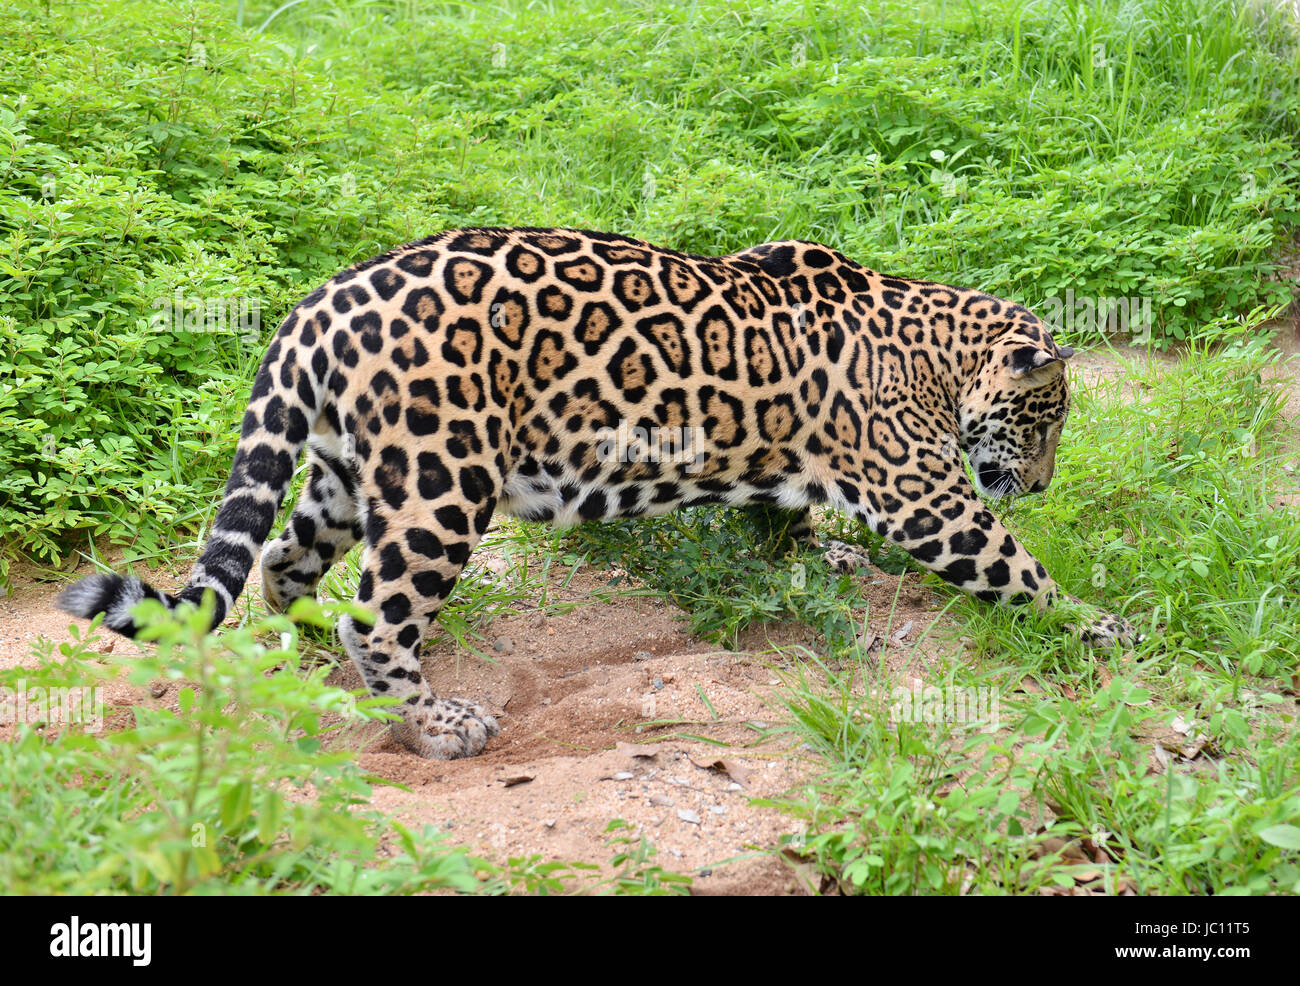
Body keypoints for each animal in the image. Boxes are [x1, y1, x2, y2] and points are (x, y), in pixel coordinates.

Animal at [58, 226, 1140, 759]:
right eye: (1047, 417)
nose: (1041, 480)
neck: (935, 352)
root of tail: (314, 305)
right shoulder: (927, 497)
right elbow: (1014, 566)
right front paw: (1103, 626)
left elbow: (782, 515)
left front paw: (818, 554)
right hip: (441, 482)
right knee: (380, 610)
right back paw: (435, 721)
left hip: (339, 469)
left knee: (283, 562)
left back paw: (314, 664)